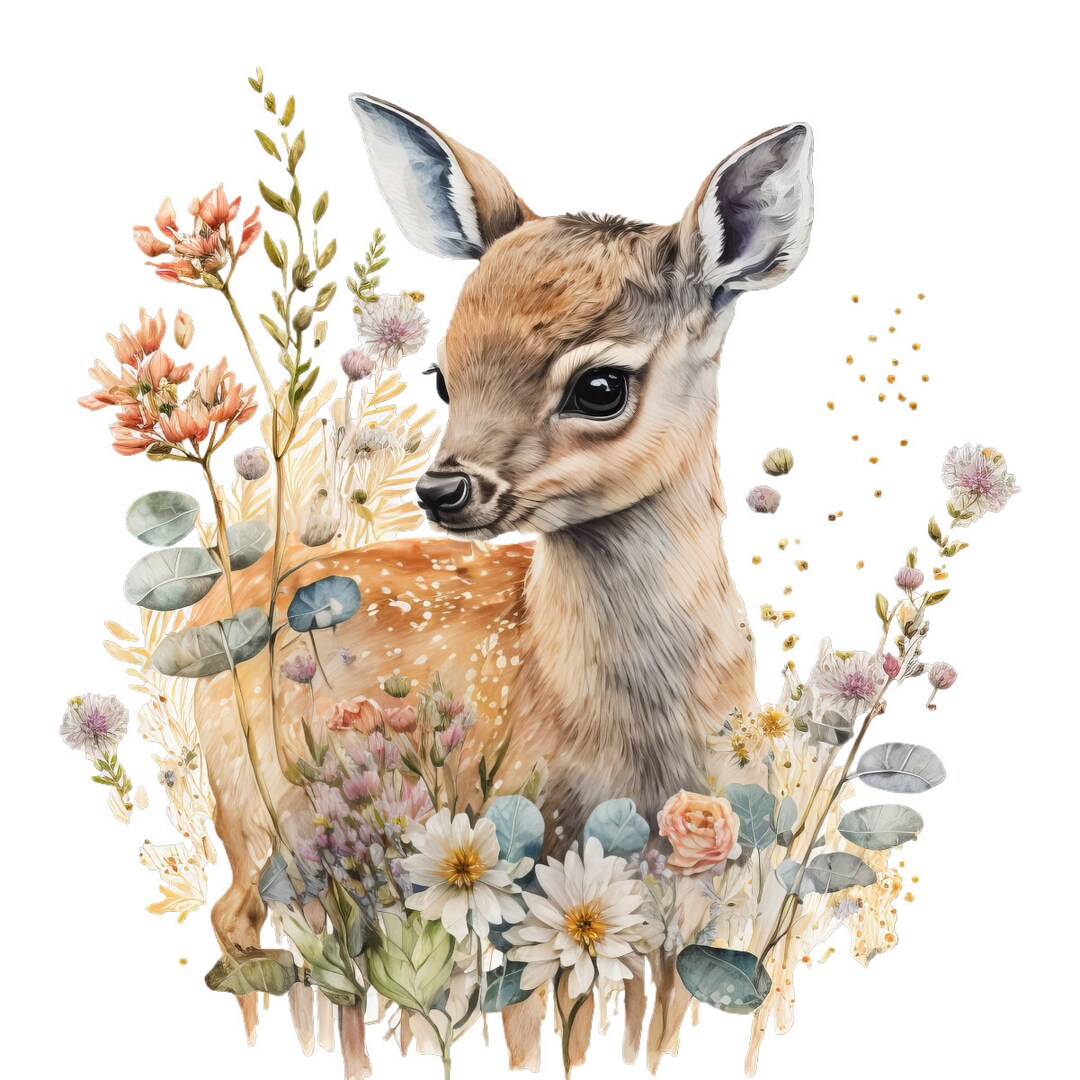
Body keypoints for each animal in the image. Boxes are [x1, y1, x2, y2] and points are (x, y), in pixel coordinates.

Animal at [191, 95, 814, 1052]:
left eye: (600, 385)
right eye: (442, 375)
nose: (444, 488)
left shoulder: (703, 874)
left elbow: (656, 1013)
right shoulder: (524, 859)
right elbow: (534, 1021)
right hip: (259, 812)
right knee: (251, 931)